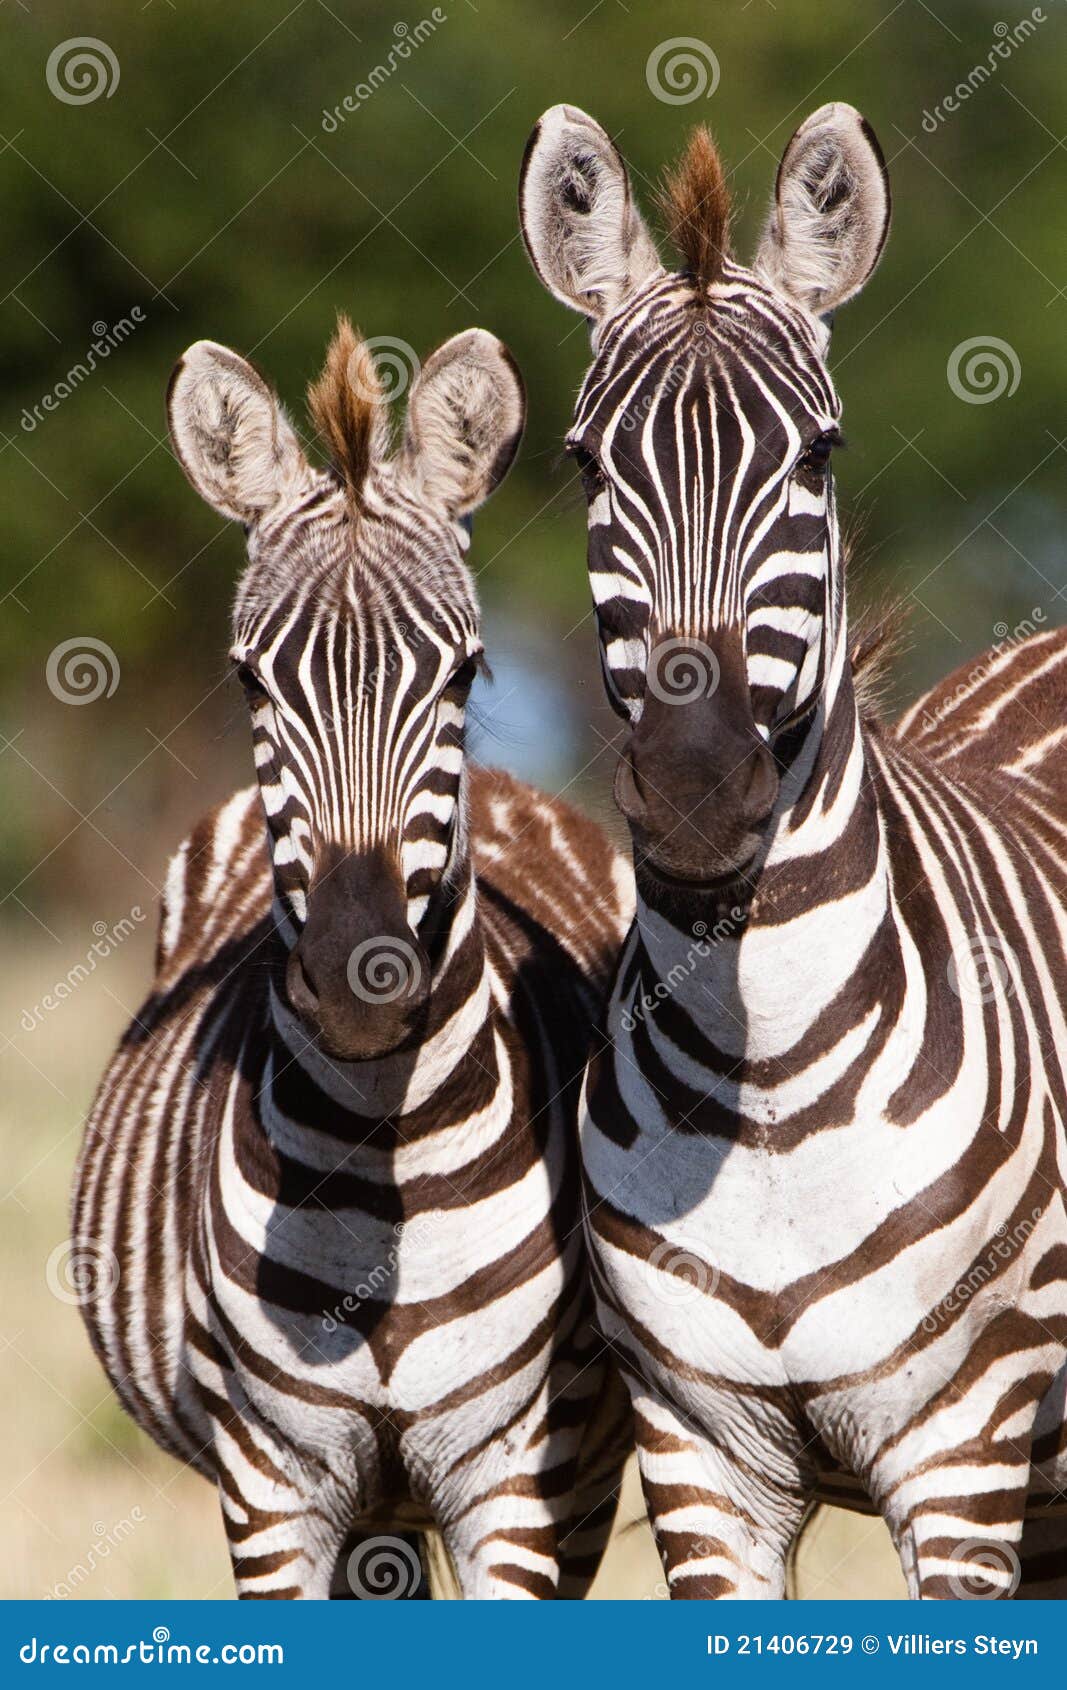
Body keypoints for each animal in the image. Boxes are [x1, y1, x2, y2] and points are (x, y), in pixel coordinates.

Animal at [73, 317, 635, 1599]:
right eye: (249, 678)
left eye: (465, 671)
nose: (361, 978)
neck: (386, 1159)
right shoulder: (273, 1485)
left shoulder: (515, 1476)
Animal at [520, 102, 1067, 1598]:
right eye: (585, 463)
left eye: (815, 456)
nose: (697, 798)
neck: (762, 1078)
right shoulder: (697, 1455)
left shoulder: (961, 1444)